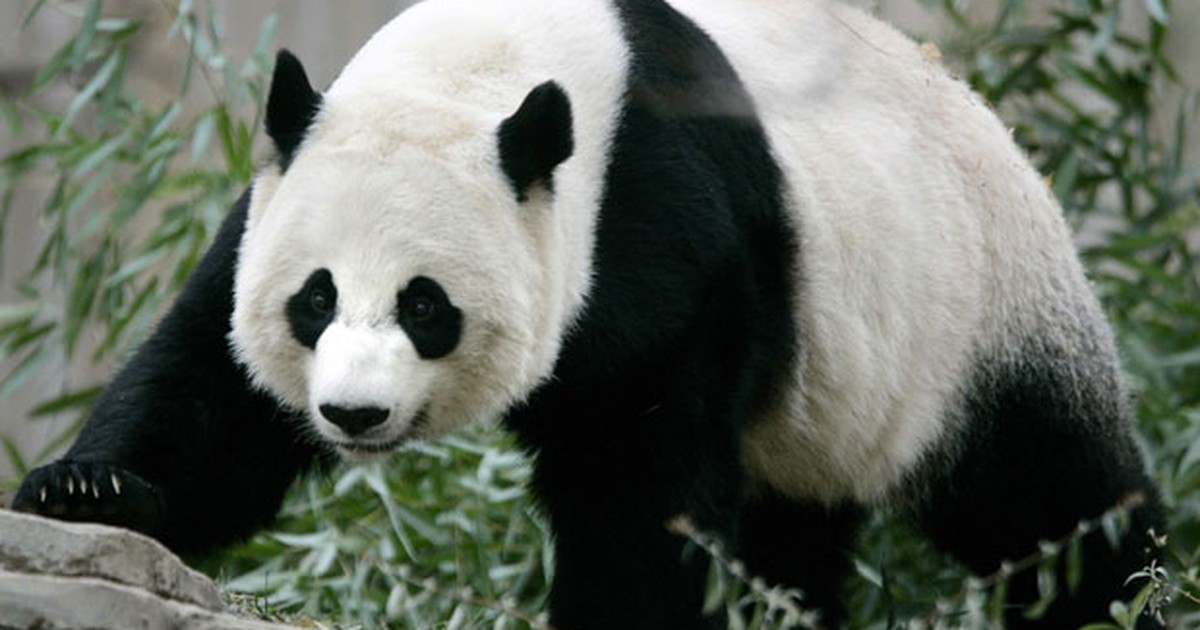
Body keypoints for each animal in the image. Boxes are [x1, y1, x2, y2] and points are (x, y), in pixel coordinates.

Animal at [13, 0, 1165, 628]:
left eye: (426, 307)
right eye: (316, 298)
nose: (352, 416)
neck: (484, 67)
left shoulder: (658, 230)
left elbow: (636, 475)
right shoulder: (283, 191)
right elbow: (213, 395)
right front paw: (84, 491)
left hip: (980, 324)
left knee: (1059, 508)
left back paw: (1129, 596)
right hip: (824, 405)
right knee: (797, 537)